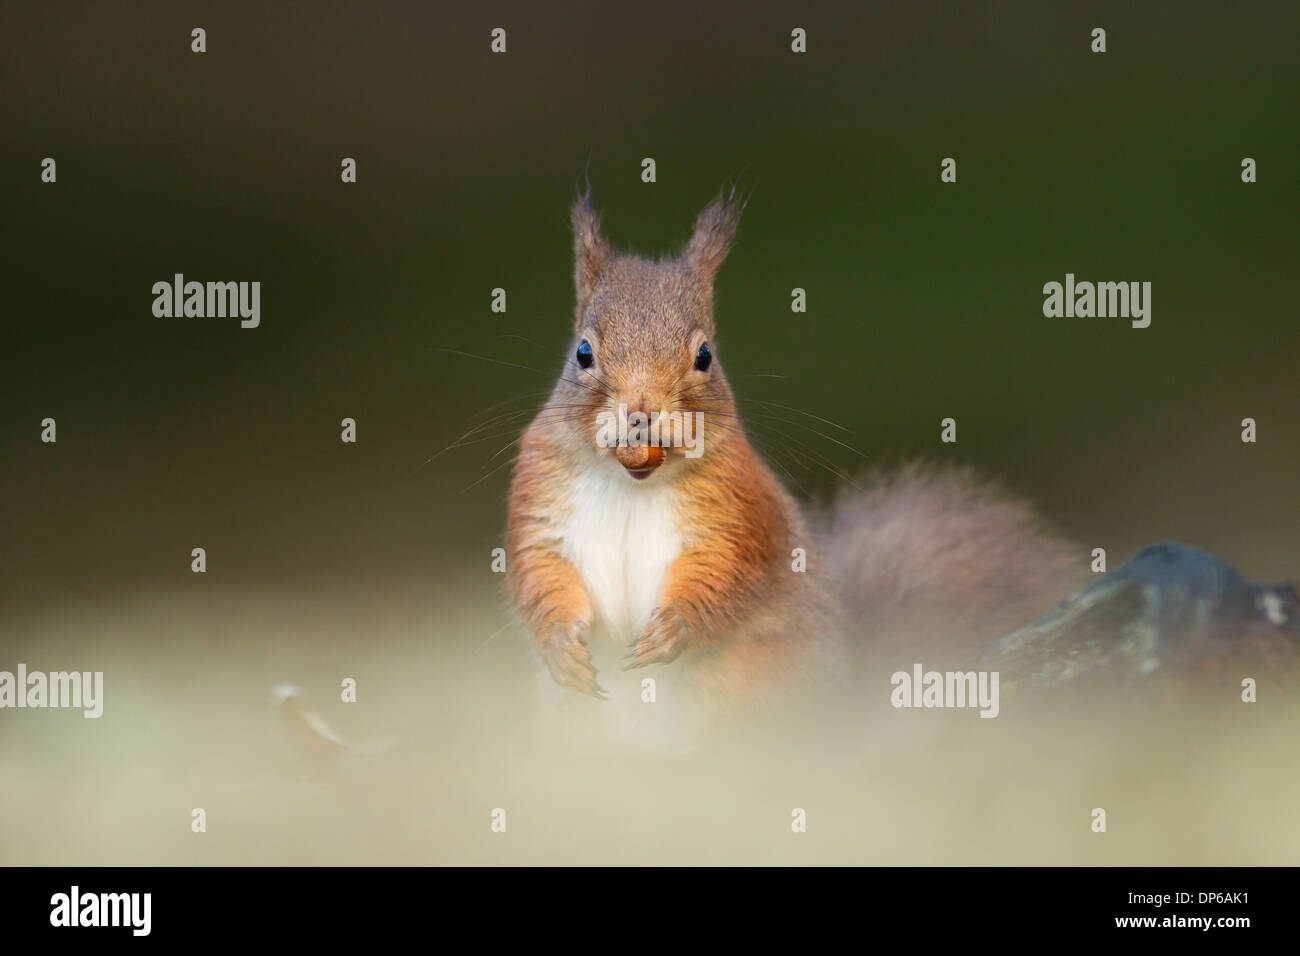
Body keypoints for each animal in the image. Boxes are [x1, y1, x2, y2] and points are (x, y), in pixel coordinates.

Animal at [505, 184, 1084, 752]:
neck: (633, 483)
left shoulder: (738, 506)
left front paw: (674, 628)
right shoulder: (540, 495)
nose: (641, 415)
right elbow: (540, 574)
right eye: (583, 352)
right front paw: (560, 645)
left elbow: (725, 574)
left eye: (705, 356)